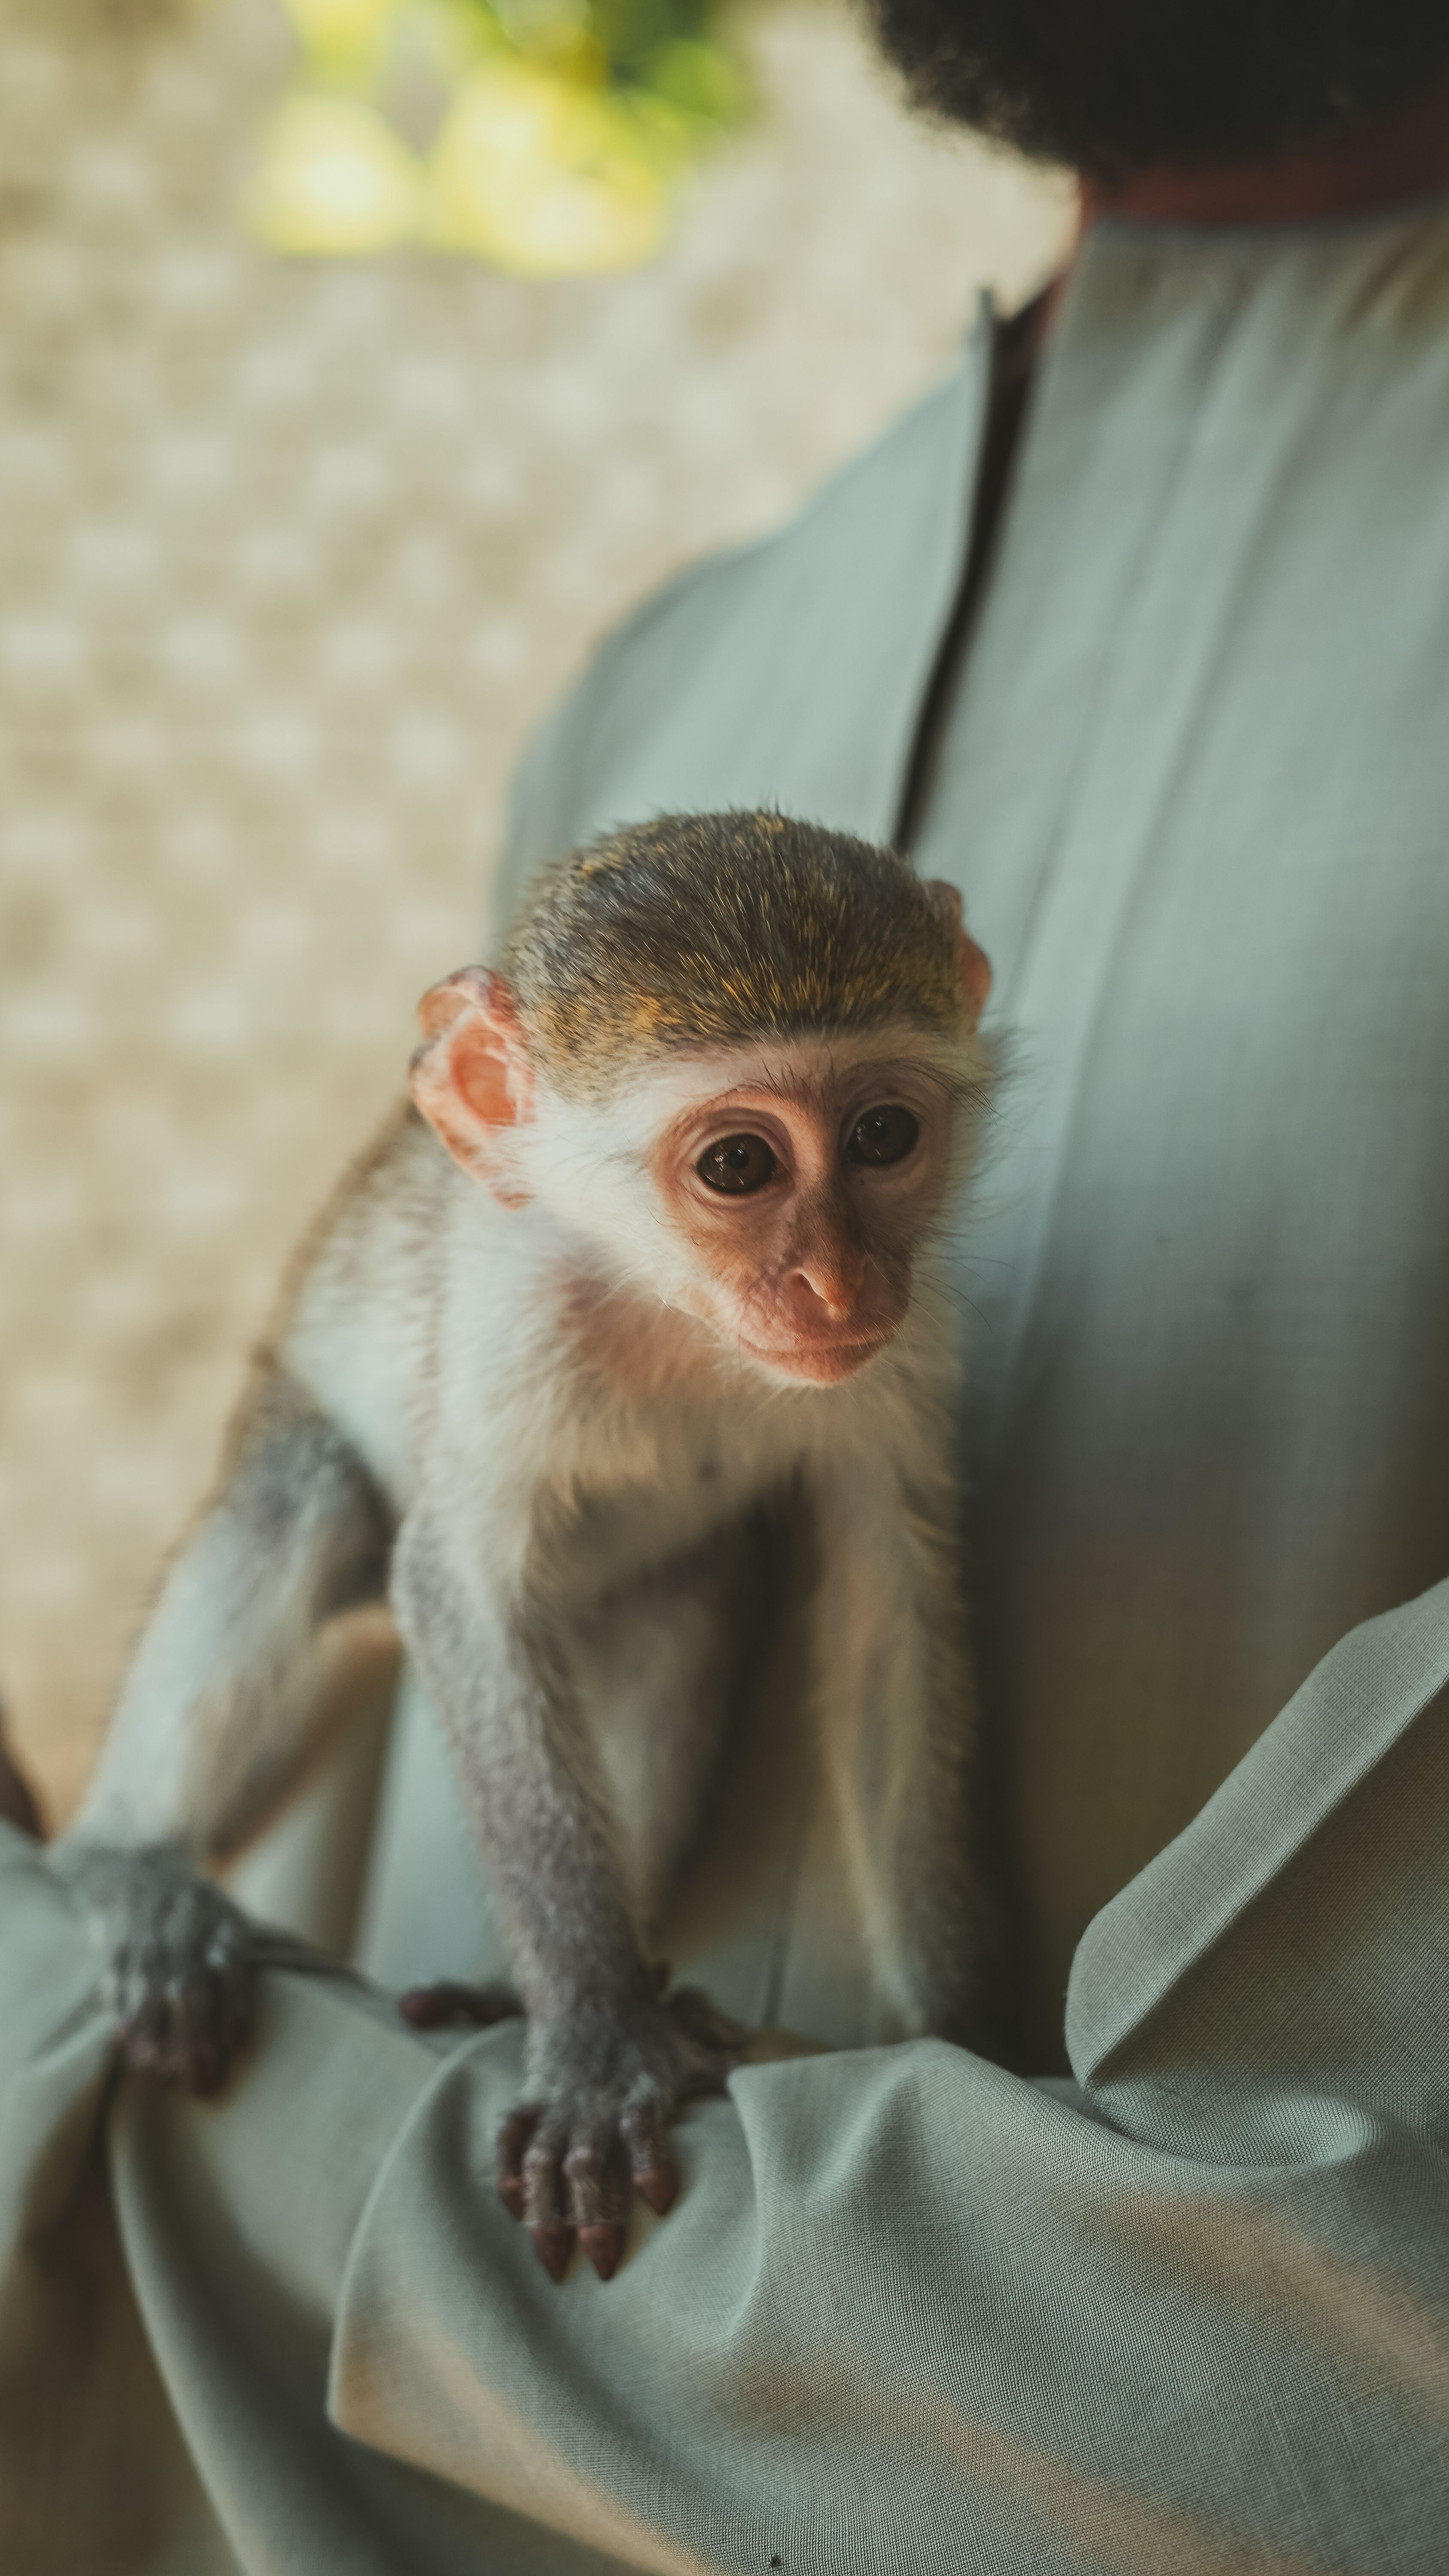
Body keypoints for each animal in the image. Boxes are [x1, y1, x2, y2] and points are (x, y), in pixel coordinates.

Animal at [54, 810, 996, 2285]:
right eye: (740, 1164)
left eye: (885, 1132)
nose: (841, 1284)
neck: (671, 1308)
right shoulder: (517, 1321)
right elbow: (459, 1590)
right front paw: (602, 2044)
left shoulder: (903, 1348)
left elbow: (885, 1606)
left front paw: (959, 2037)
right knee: (296, 1498)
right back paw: (128, 1869)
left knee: (688, 1592)